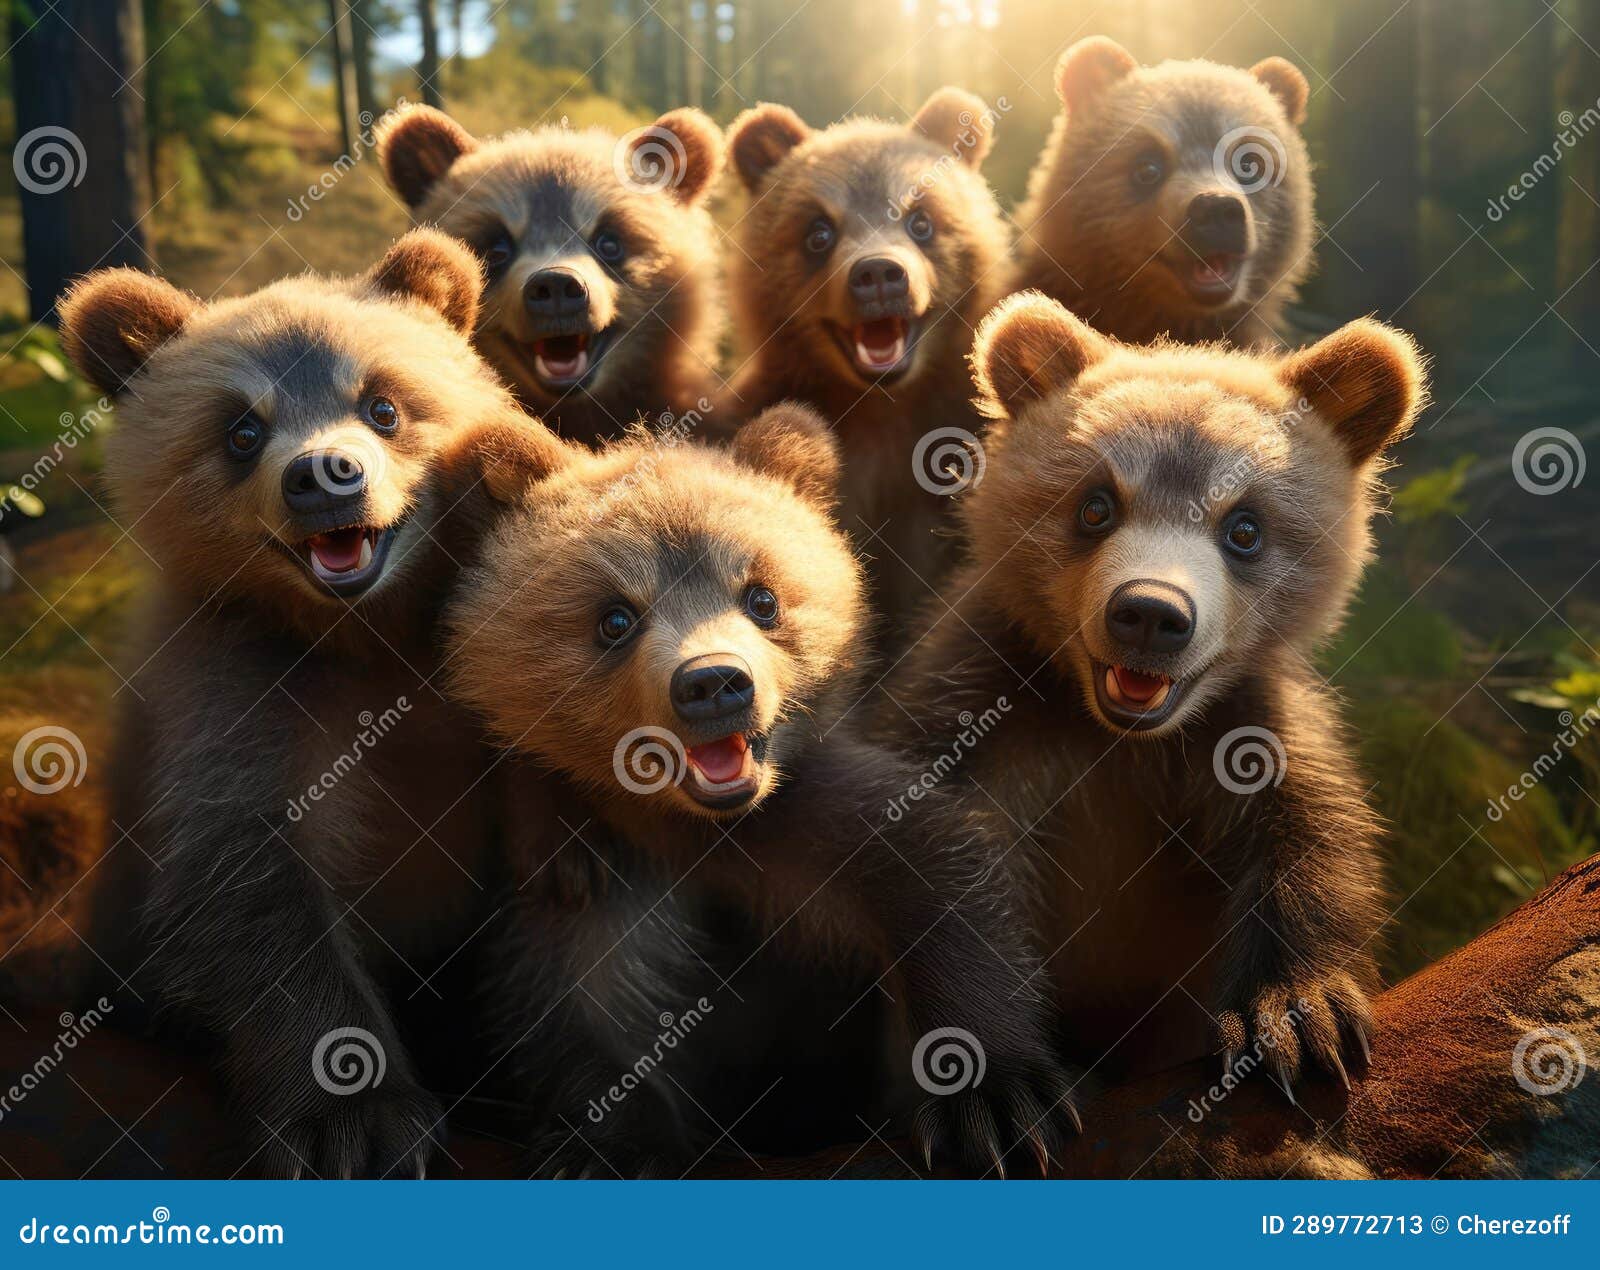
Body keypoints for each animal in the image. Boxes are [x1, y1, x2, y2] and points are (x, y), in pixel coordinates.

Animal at [59, 230, 529, 1178]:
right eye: (243, 430)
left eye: (382, 405)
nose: (325, 476)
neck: (364, 634)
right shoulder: (237, 682)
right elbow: (249, 876)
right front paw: (354, 1119)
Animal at [443, 403, 1079, 1177]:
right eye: (615, 617)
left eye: (763, 596)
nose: (715, 682)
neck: (700, 825)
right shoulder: (598, 867)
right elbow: (581, 1001)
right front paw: (610, 1145)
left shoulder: (808, 819)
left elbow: (934, 875)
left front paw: (996, 1103)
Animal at [883, 292, 1428, 1093]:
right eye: (1096, 504)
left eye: (1244, 527)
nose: (1150, 612)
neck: (1118, 736)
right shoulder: (986, 714)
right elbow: (938, 869)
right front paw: (992, 1076)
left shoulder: (1242, 730)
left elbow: (1309, 837)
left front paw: (1296, 1018)